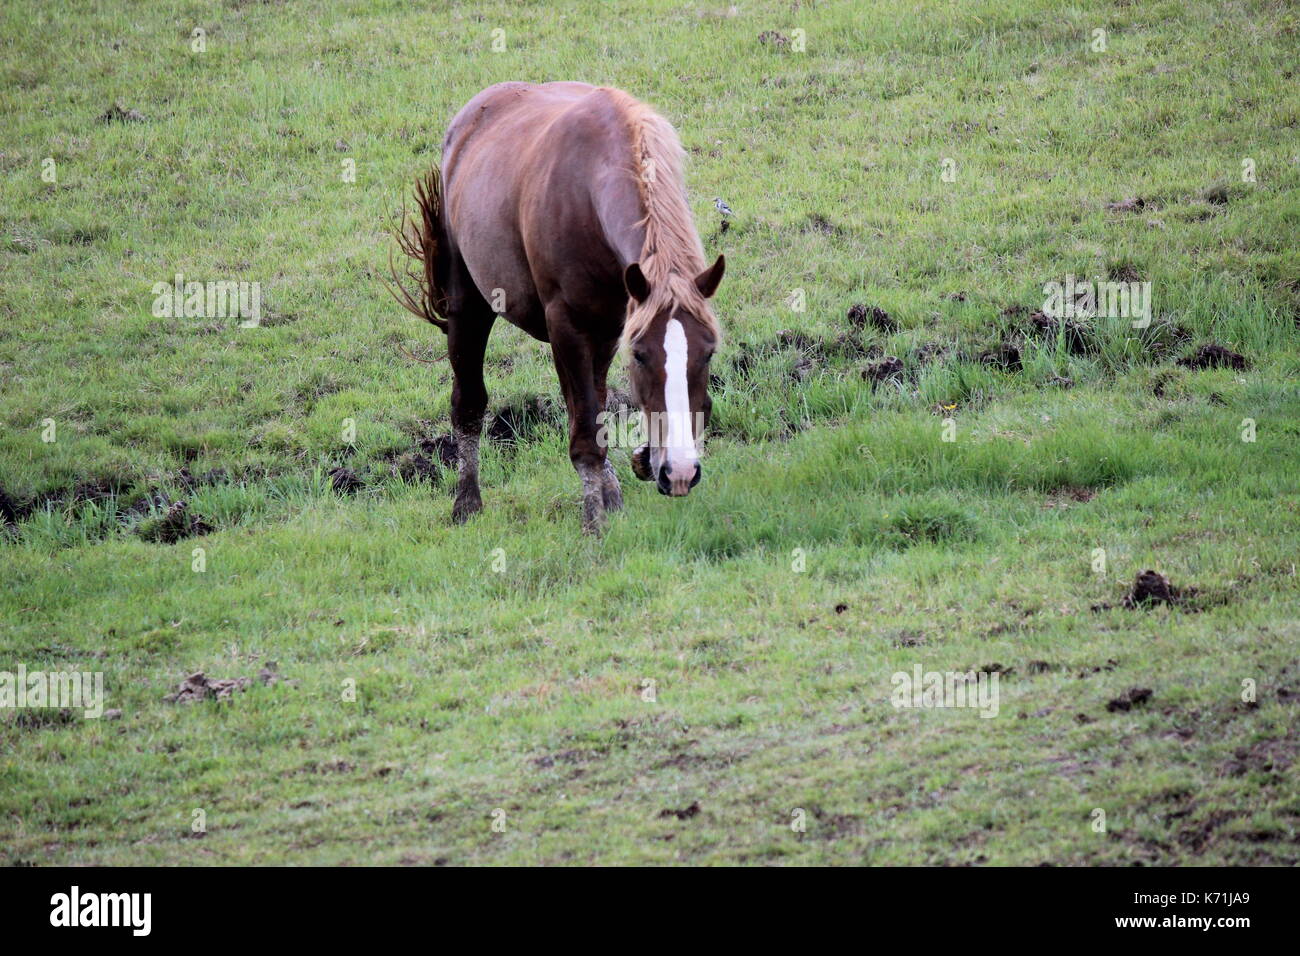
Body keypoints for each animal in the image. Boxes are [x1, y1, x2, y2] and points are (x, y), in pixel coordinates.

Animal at [387, 82, 725, 534]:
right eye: (641, 355)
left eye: (708, 353)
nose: (681, 471)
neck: (588, 188)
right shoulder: (567, 324)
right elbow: (584, 431)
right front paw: (594, 524)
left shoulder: (611, 325)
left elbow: (593, 413)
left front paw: (608, 498)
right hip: (469, 307)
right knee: (469, 403)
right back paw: (467, 502)